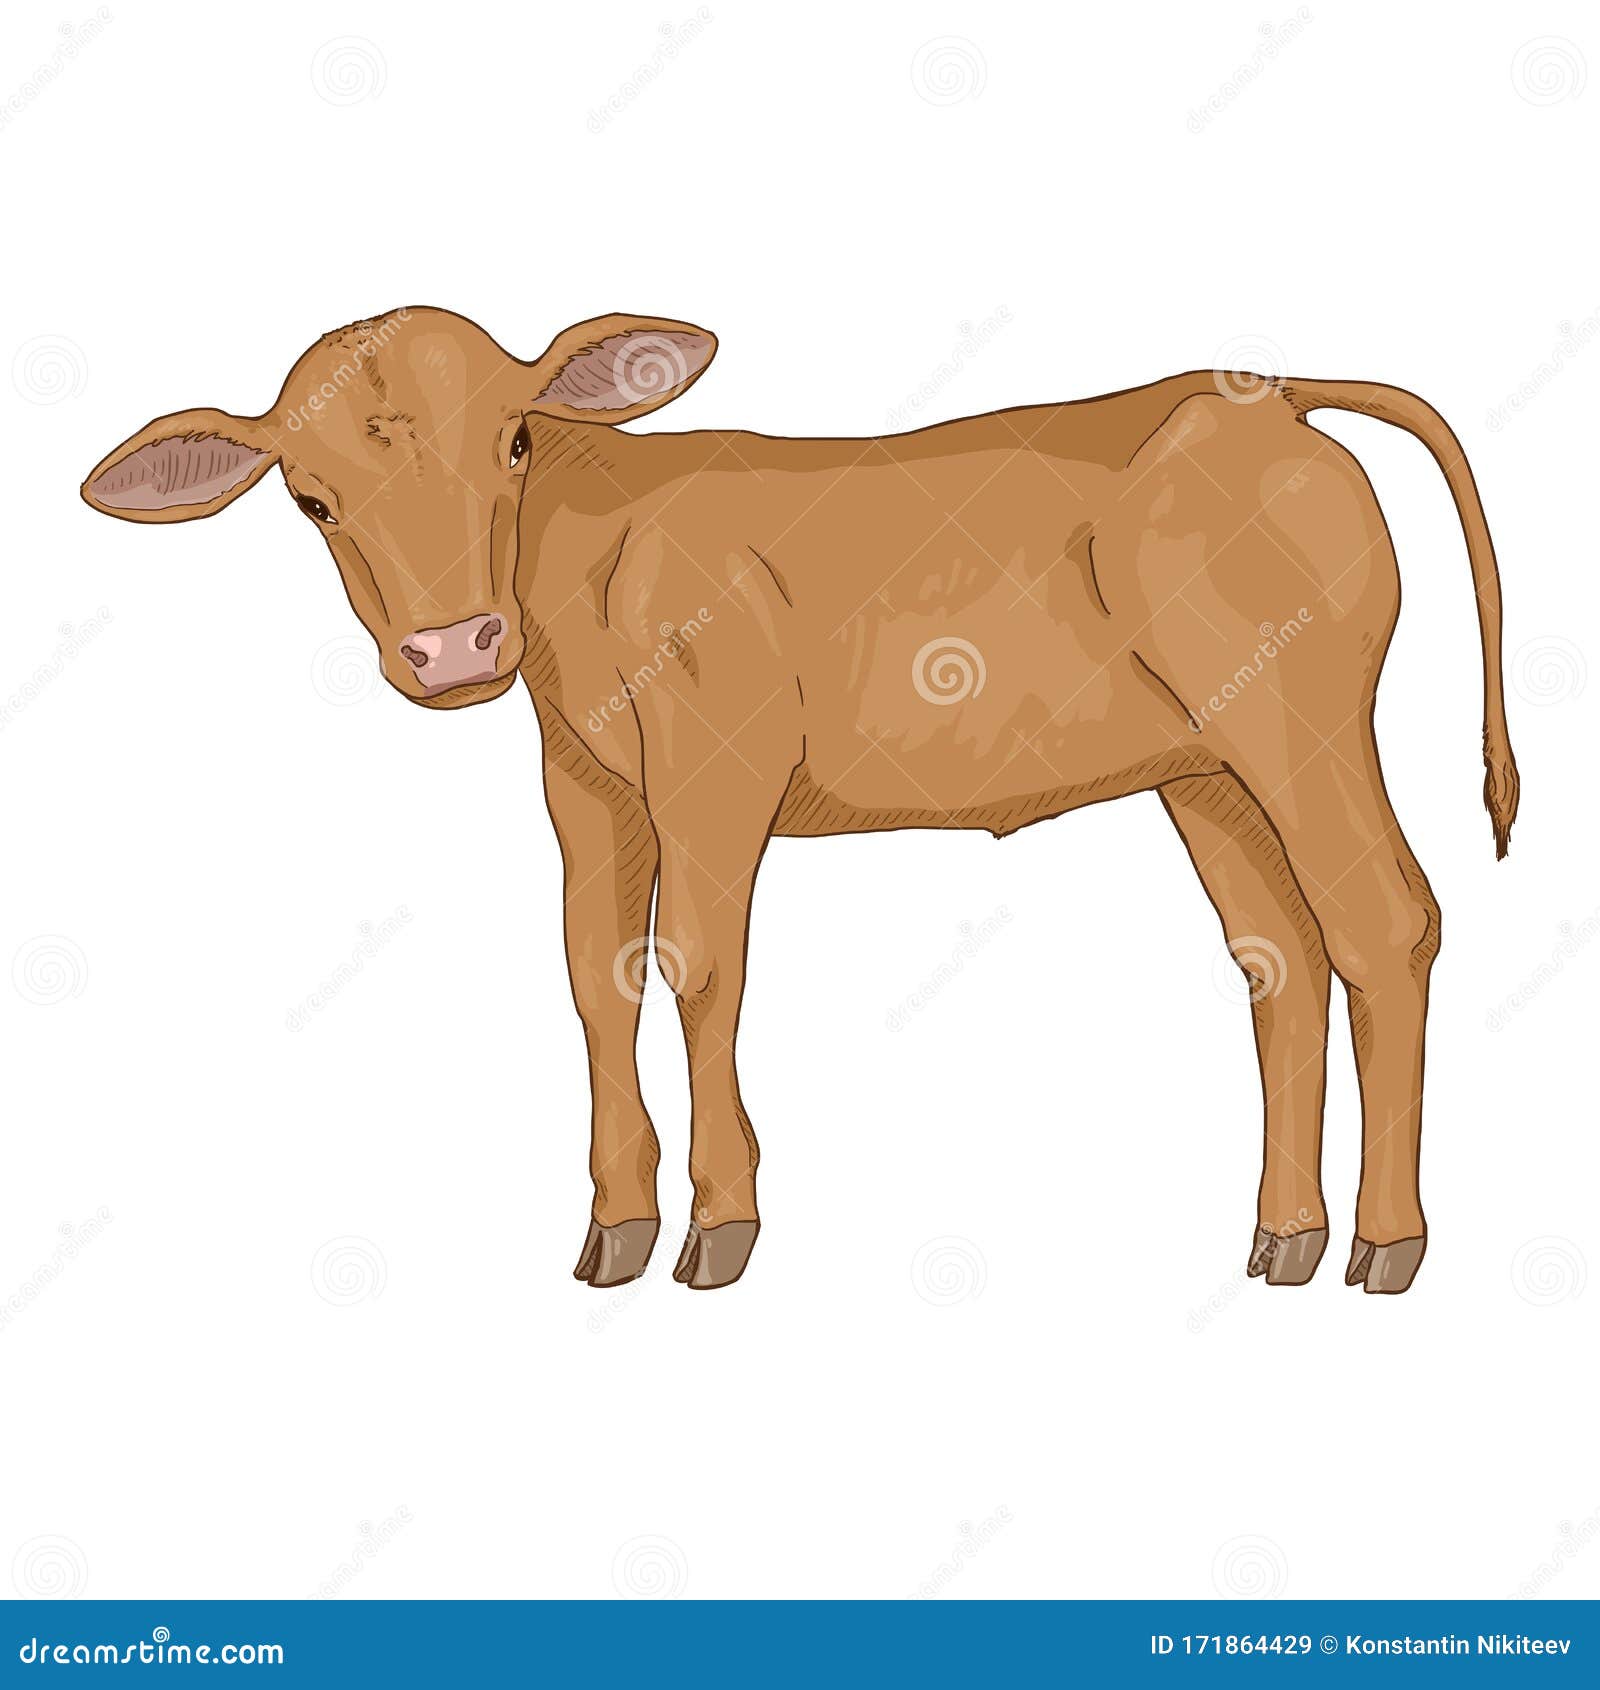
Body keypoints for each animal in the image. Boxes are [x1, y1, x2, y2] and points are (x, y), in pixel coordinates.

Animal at [82, 307, 1518, 1296]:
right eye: (310, 499)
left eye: (513, 438)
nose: (454, 648)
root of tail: (1262, 392)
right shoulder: (586, 779)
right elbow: (593, 970)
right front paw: (613, 1226)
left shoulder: (716, 760)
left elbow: (695, 959)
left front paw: (719, 1226)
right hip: (1207, 769)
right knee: (1282, 957)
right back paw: (1283, 1236)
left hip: (1300, 724)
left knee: (1384, 924)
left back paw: (1384, 1245)